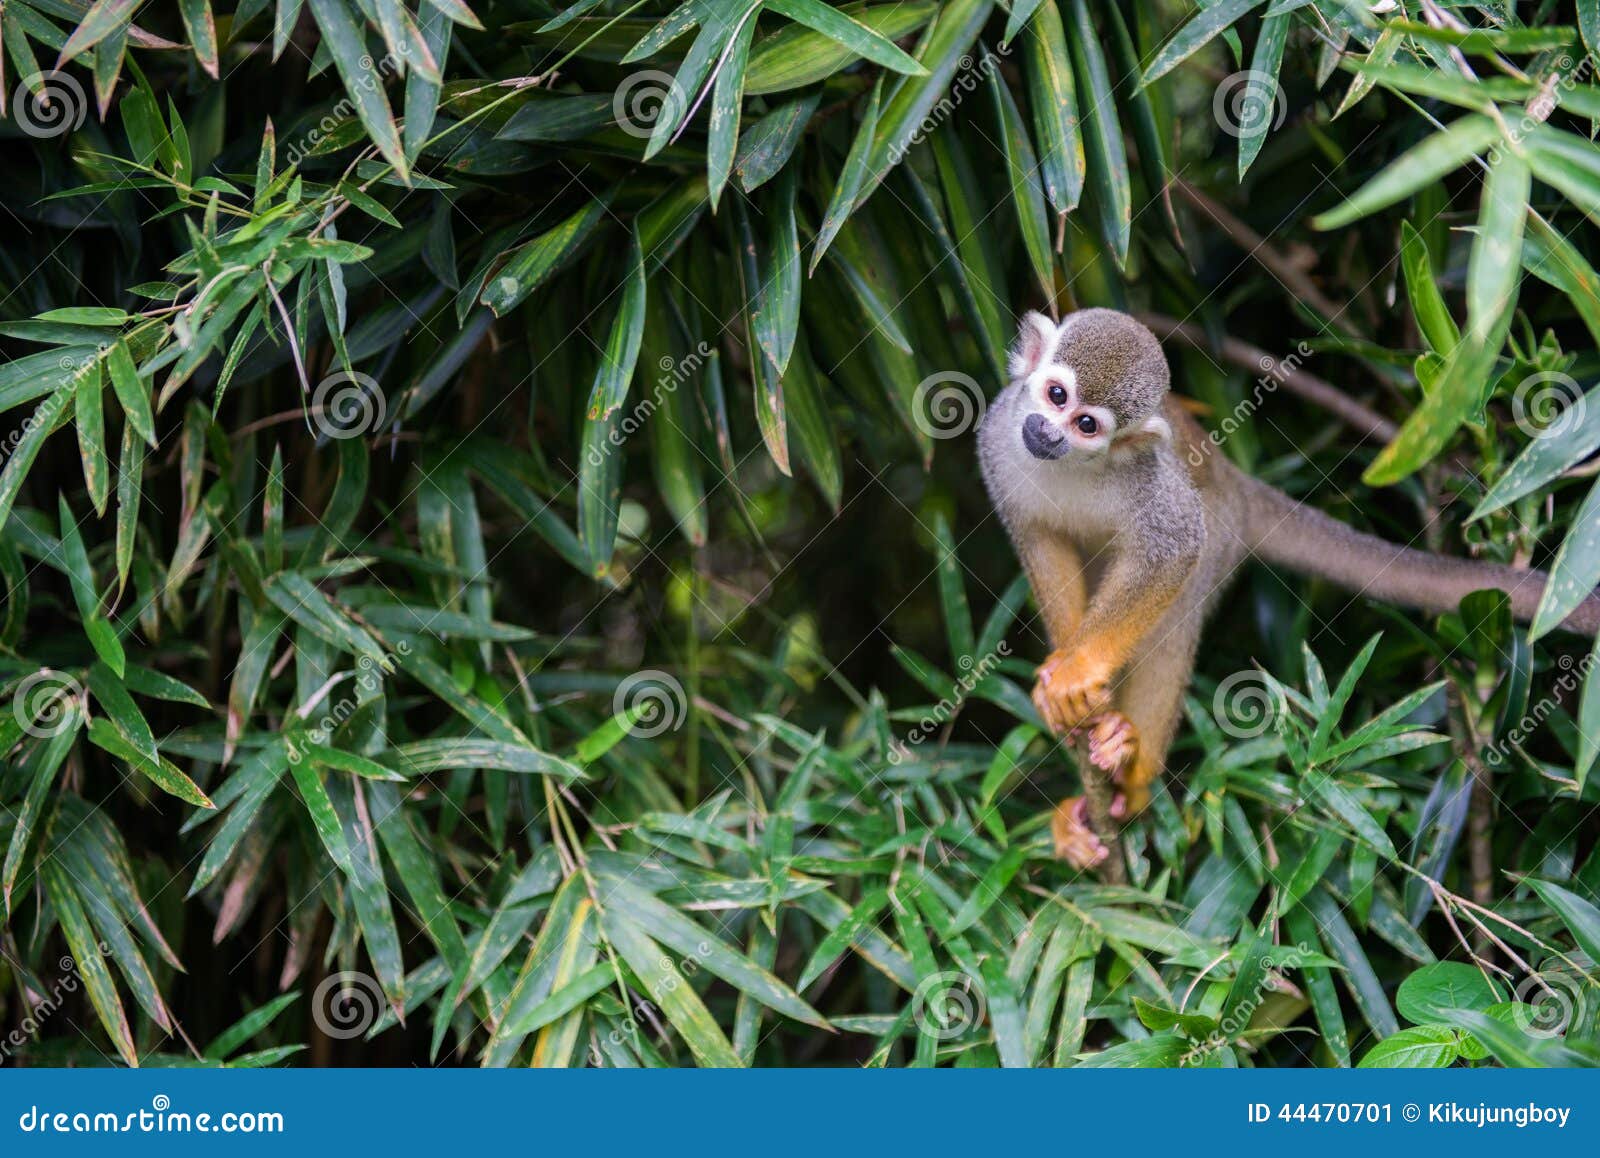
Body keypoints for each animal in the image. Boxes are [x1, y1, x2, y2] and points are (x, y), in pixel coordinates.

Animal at [978, 307, 1600, 871]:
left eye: (1087, 425)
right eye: (1055, 395)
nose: (1047, 430)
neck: (1073, 468)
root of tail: (1236, 481)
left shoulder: (1148, 478)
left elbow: (1172, 548)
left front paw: (1081, 669)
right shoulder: (998, 441)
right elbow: (1038, 539)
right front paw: (1061, 680)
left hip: (1221, 532)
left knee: (1176, 617)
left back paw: (1131, 765)